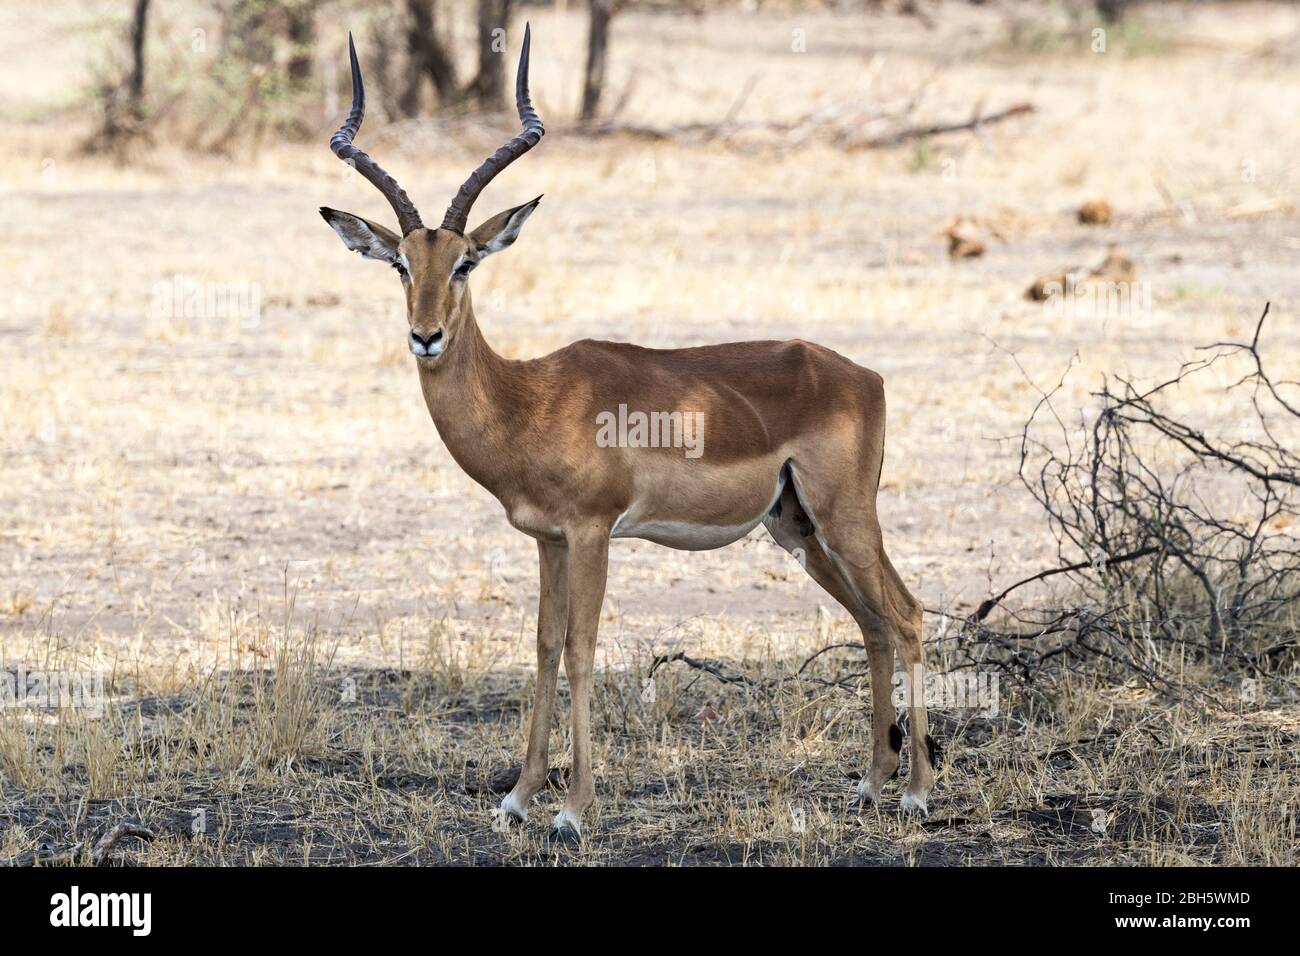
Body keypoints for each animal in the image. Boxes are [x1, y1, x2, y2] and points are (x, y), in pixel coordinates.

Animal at [320, 26, 935, 843]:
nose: (425, 336)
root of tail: (865, 375)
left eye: (465, 263)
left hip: (846, 516)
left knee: (906, 614)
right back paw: (870, 782)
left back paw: (917, 794)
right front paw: (519, 797)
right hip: (797, 528)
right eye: (398, 264)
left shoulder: (591, 531)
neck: (529, 397)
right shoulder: (547, 539)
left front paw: (572, 811)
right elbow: (544, 647)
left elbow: (582, 650)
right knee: (871, 623)